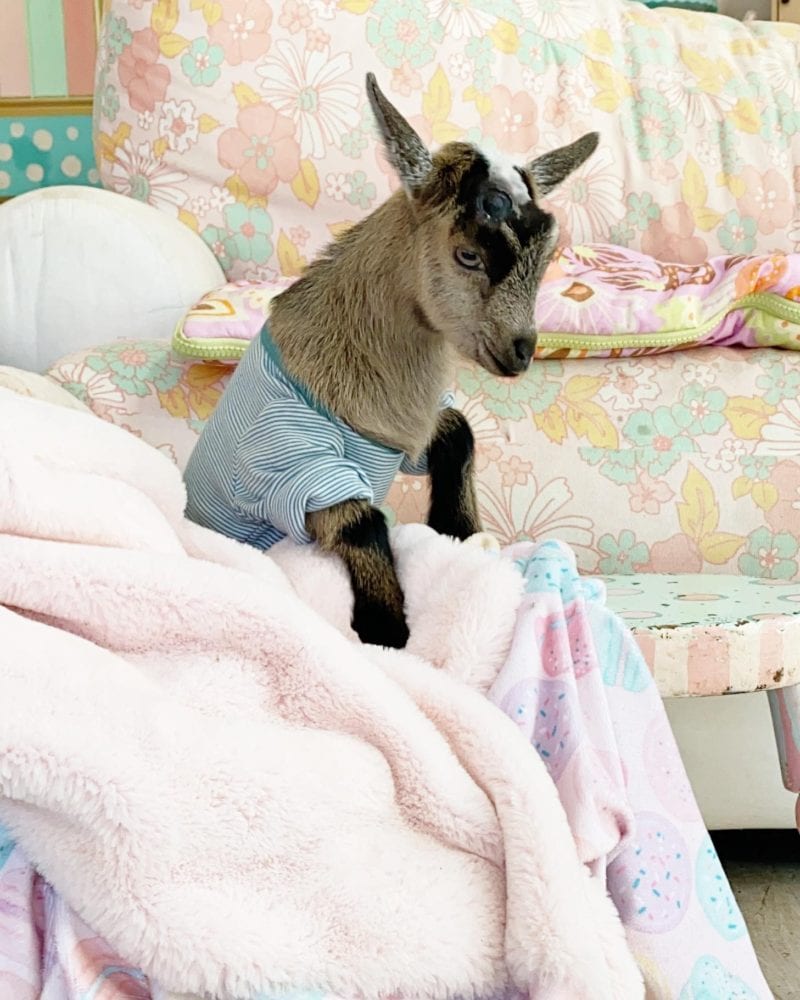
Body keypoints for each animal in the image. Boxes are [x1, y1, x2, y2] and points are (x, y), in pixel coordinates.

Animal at [184, 74, 599, 649]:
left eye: (546, 258)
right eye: (467, 254)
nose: (521, 352)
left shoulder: (406, 433)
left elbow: (459, 430)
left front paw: (458, 529)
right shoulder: (292, 462)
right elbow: (360, 522)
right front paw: (386, 629)